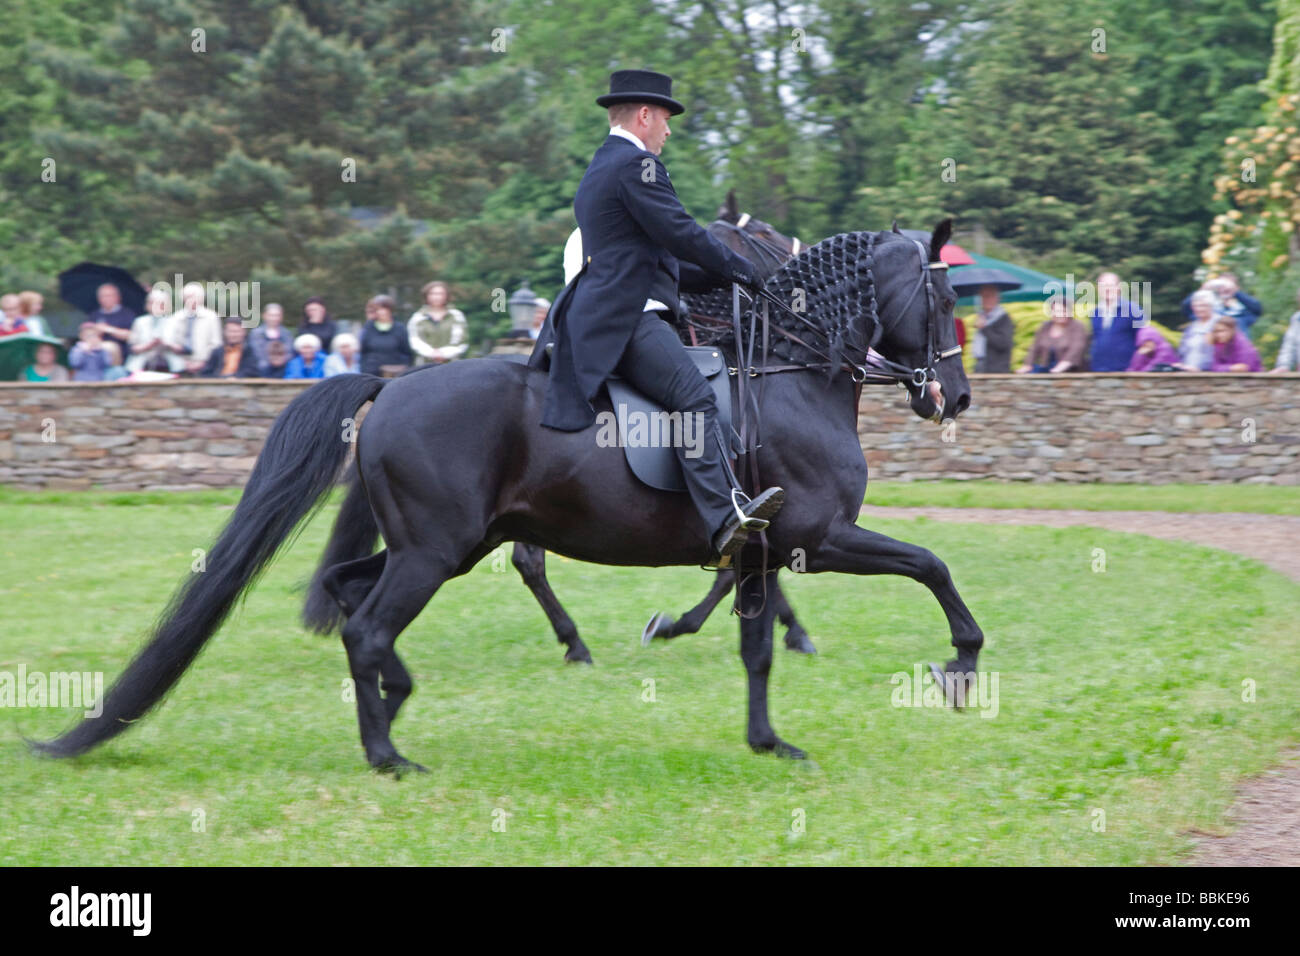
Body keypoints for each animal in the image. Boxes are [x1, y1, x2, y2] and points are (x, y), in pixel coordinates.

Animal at [33, 221, 980, 774]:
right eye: (939, 296)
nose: (956, 397)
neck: (790, 370)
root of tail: (391, 386)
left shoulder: (760, 549)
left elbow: (756, 648)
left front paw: (768, 741)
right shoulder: (819, 536)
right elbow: (932, 564)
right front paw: (961, 666)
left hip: (444, 547)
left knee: (351, 597)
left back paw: (396, 700)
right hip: (436, 552)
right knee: (371, 623)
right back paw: (390, 750)